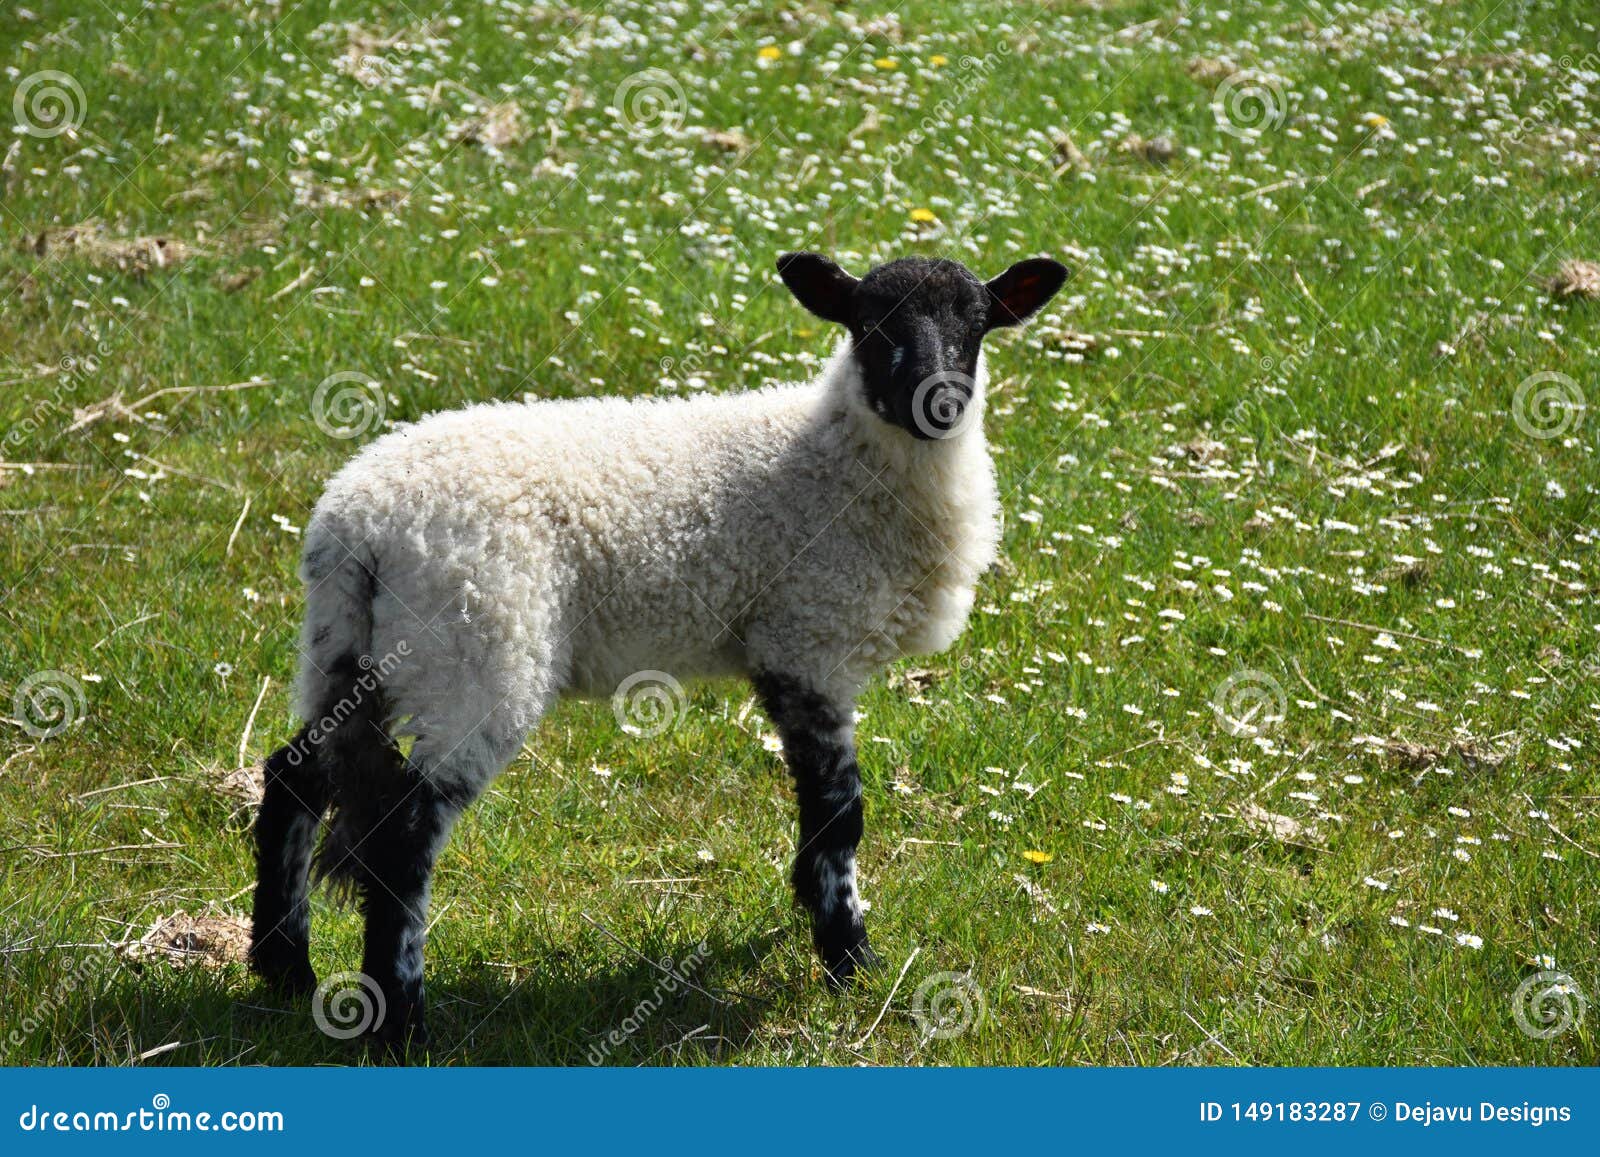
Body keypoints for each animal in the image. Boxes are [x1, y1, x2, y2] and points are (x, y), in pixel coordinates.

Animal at [249, 250, 1068, 1046]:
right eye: (869, 323)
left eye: (976, 323)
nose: (939, 402)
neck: (838, 461)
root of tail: (359, 522)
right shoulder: (808, 640)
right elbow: (840, 814)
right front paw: (849, 957)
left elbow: (821, 816)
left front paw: (816, 918)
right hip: (475, 649)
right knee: (403, 833)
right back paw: (404, 1023)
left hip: (349, 651)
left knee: (295, 776)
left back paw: (285, 969)